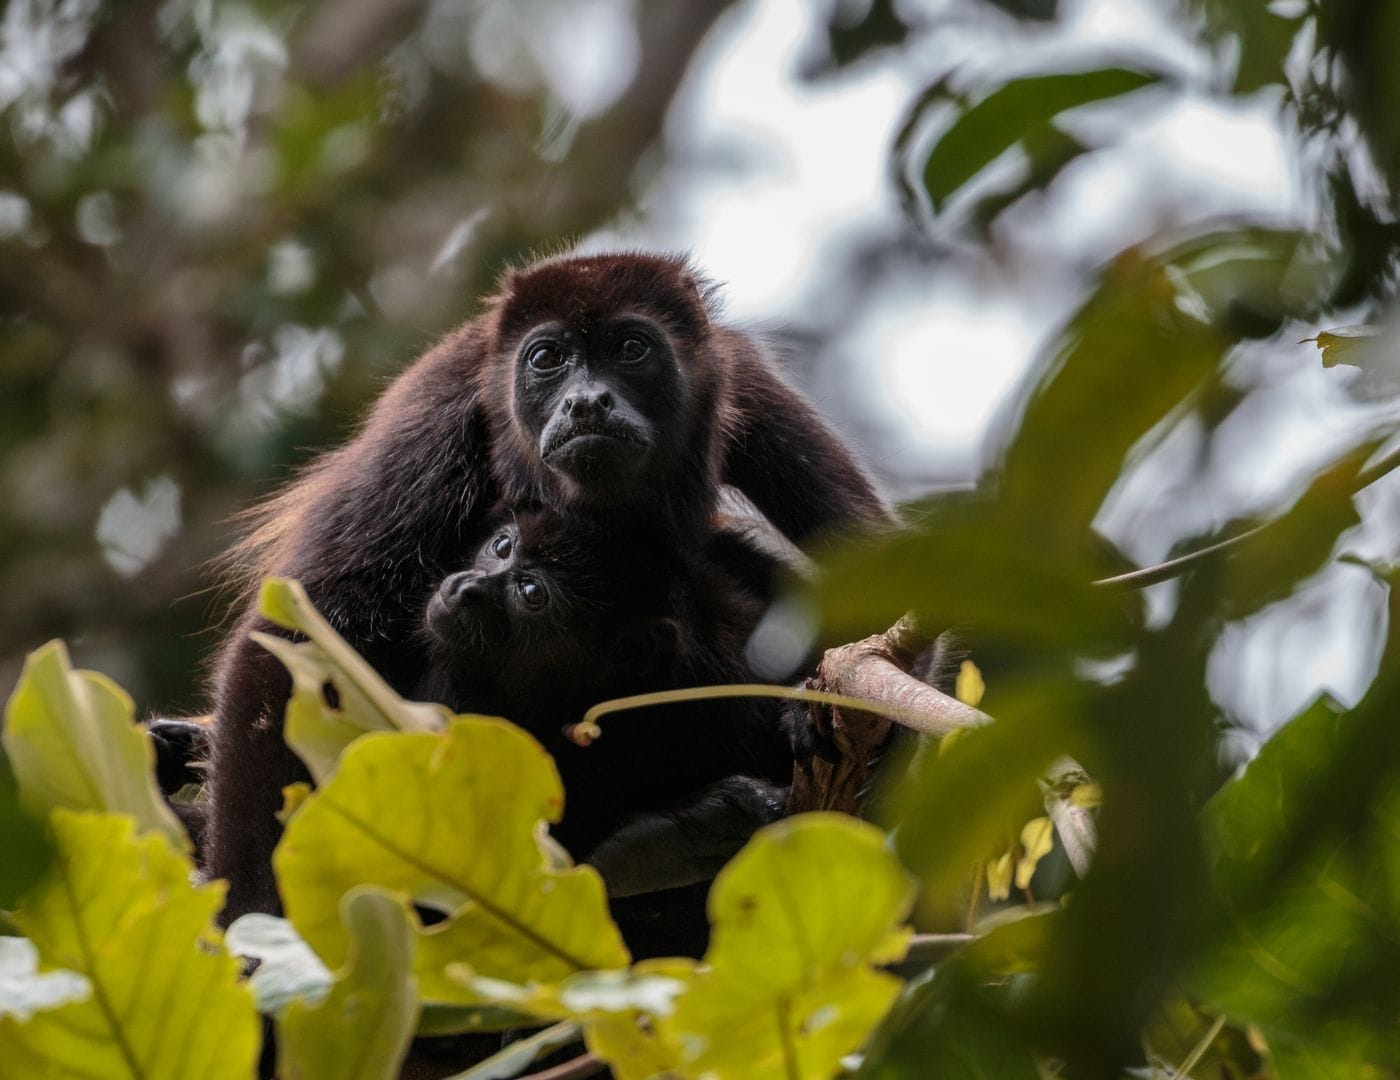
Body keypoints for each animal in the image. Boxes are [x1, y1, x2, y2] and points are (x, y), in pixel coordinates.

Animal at [204, 251, 889, 923]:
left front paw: (816, 716)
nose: (587, 402)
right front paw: (254, 914)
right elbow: (304, 630)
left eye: (631, 348)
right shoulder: (441, 406)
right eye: (547, 358)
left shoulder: (749, 387)